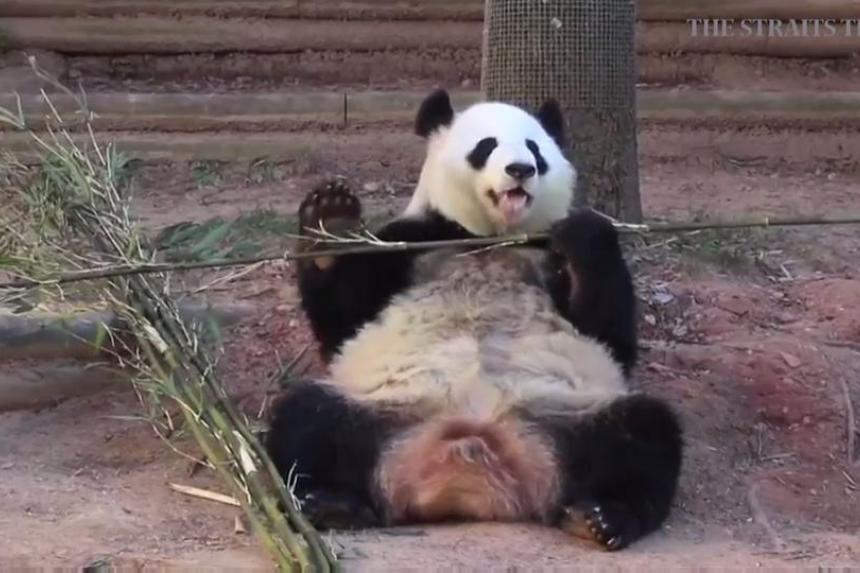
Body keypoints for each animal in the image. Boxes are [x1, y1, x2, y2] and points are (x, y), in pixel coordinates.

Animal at [266, 89, 683, 551]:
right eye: (486, 146)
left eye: (535, 149)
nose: (520, 169)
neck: (488, 239)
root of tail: (470, 475)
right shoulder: (412, 242)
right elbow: (343, 326)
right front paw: (330, 220)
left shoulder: (545, 251)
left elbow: (612, 337)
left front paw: (584, 230)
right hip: (383, 411)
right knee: (306, 420)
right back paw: (332, 503)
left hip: (567, 416)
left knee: (644, 433)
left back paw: (602, 517)